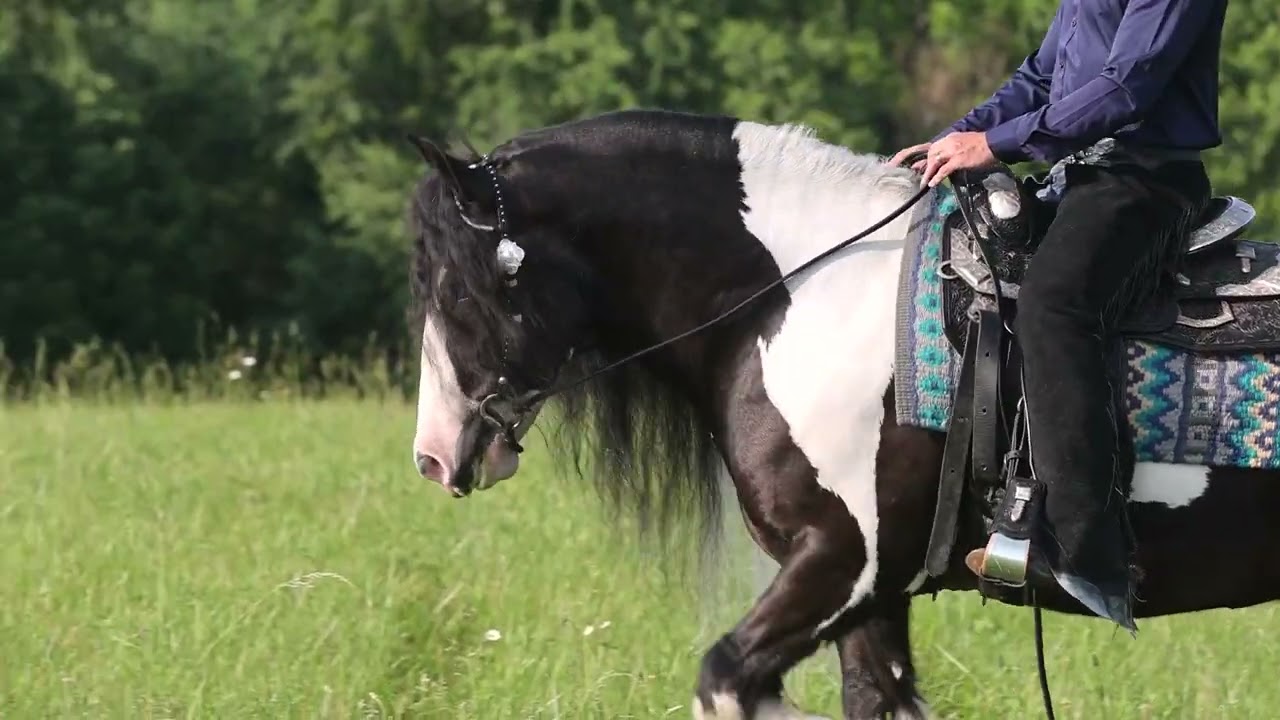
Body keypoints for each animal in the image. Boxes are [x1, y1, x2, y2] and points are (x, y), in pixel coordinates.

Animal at [404, 108, 1280, 719]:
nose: (433, 456)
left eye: (455, 289)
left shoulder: (839, 559)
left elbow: (725, 680)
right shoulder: (875, 595)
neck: (800, 293)